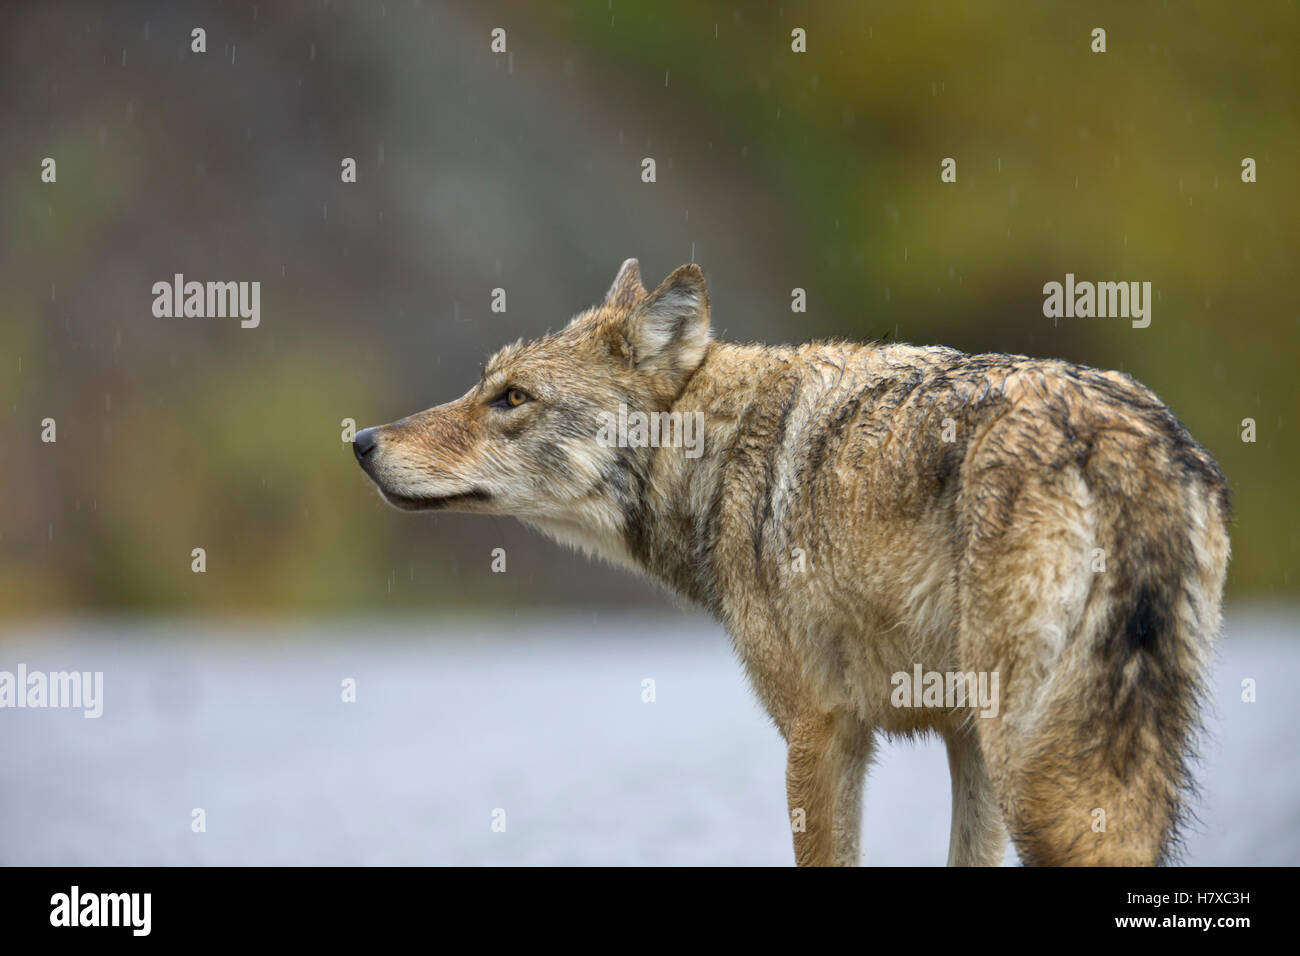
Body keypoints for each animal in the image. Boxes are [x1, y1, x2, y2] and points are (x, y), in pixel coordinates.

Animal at [353, 259, 1230, 866]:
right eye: (485, 386)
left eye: (511, 398)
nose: (360, 441)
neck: (719, 449)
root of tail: (1117, 434)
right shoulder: (960, 743)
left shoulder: (821, 733)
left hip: (1041, 775)